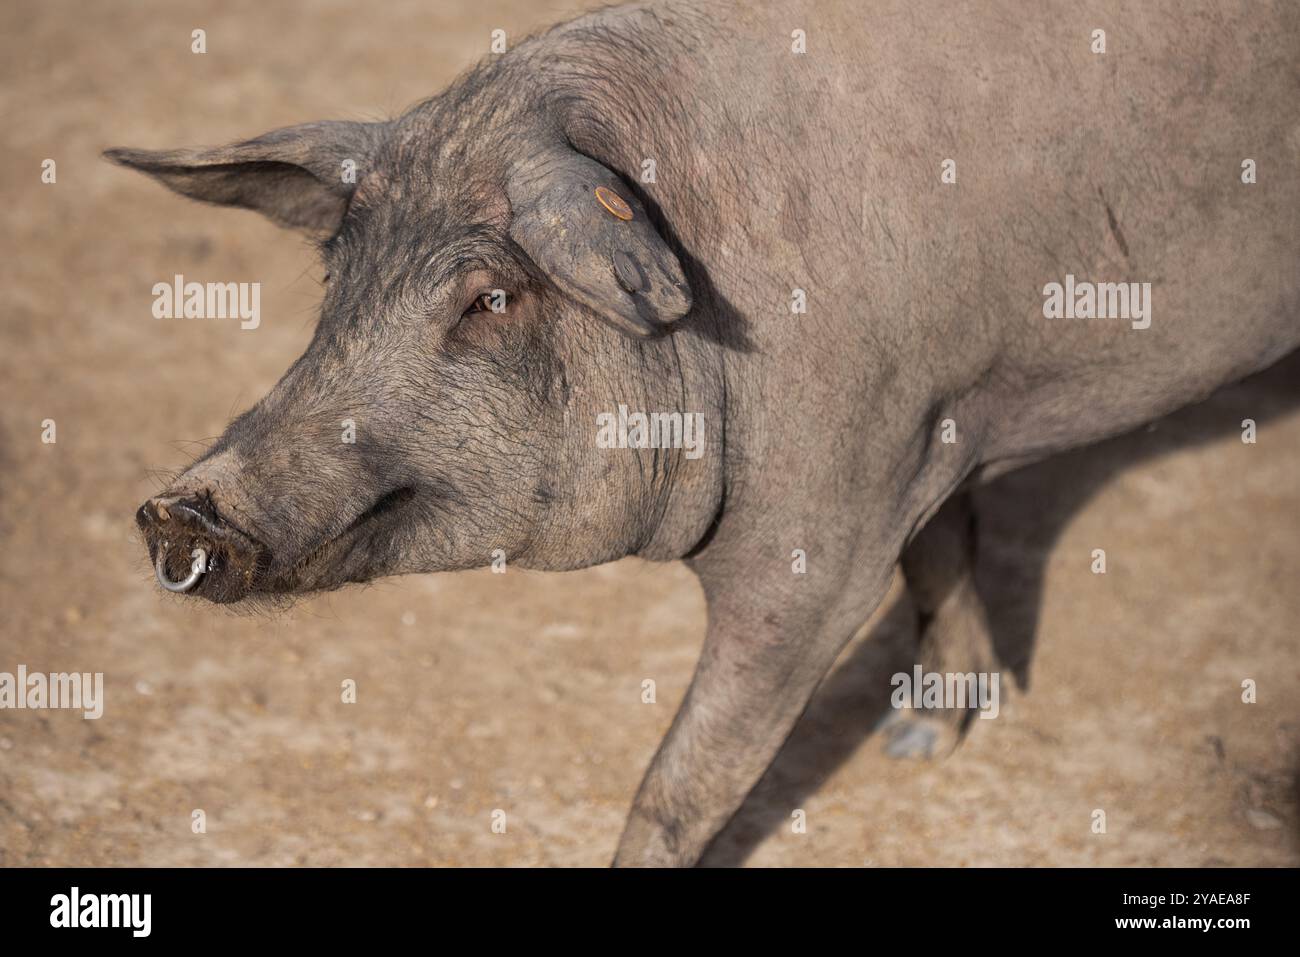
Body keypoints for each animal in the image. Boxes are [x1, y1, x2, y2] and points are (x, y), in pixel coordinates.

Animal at [108, 0, 1300, 866]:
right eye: (336, 278)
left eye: (491, 298)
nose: (177, 508)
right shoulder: (929, 422)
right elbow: (942, 554)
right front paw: (922, 744)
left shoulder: (825, 517)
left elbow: (686, 773)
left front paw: (904, 745)